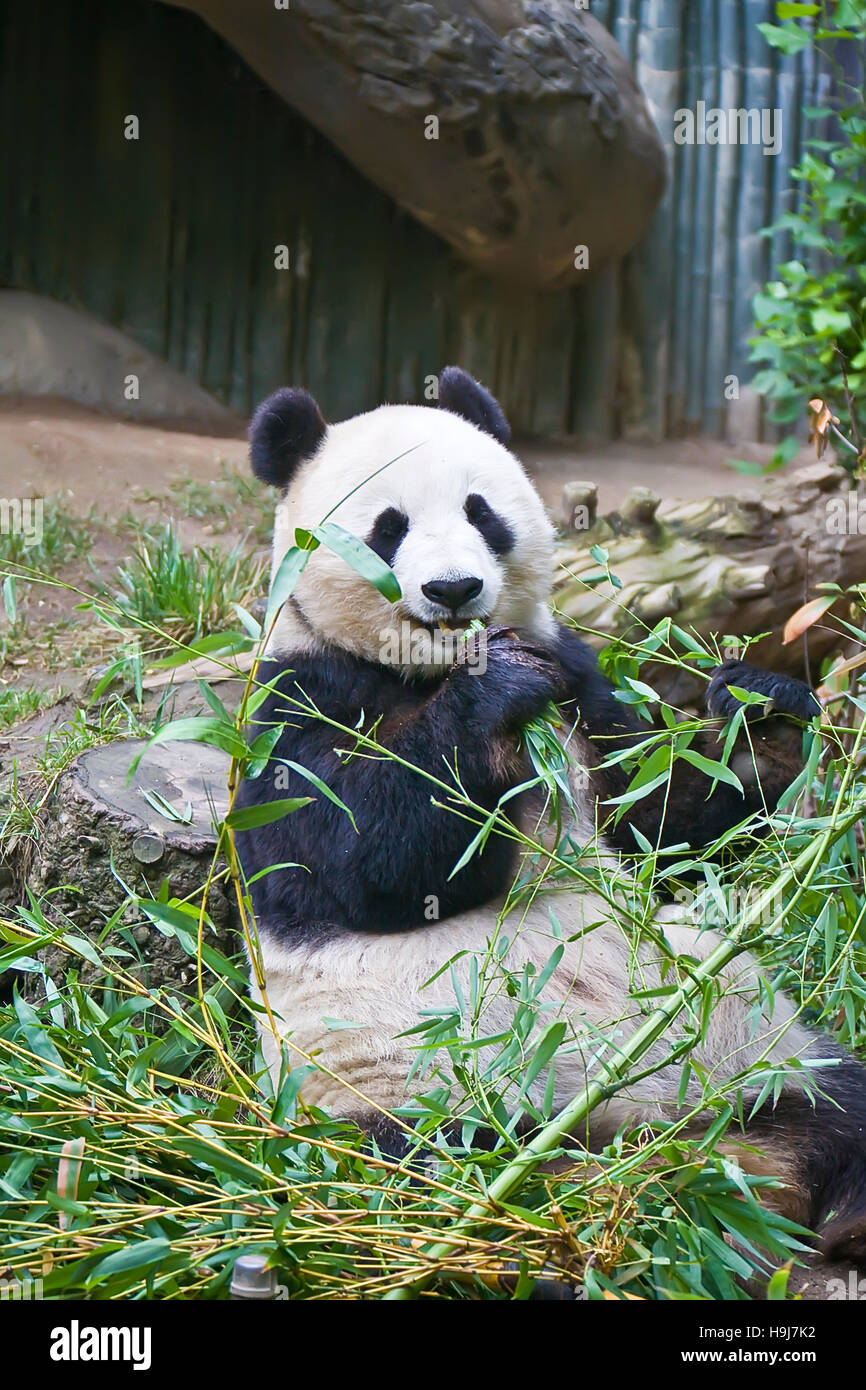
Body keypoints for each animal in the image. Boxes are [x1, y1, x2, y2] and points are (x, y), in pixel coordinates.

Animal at [234, 366, 866, 1265]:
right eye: (388, 529)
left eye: (480, 512)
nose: (454, 590)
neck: (433, 668)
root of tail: (641, 1134)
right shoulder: (298, 698)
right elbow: (351, 852)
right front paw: (493, 702)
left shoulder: (582, 688)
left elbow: (667, 824)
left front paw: (763, 718)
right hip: (401, 1088)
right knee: (429, 1173)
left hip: (757, 1037)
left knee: (839, 1103)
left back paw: (830, 1208)